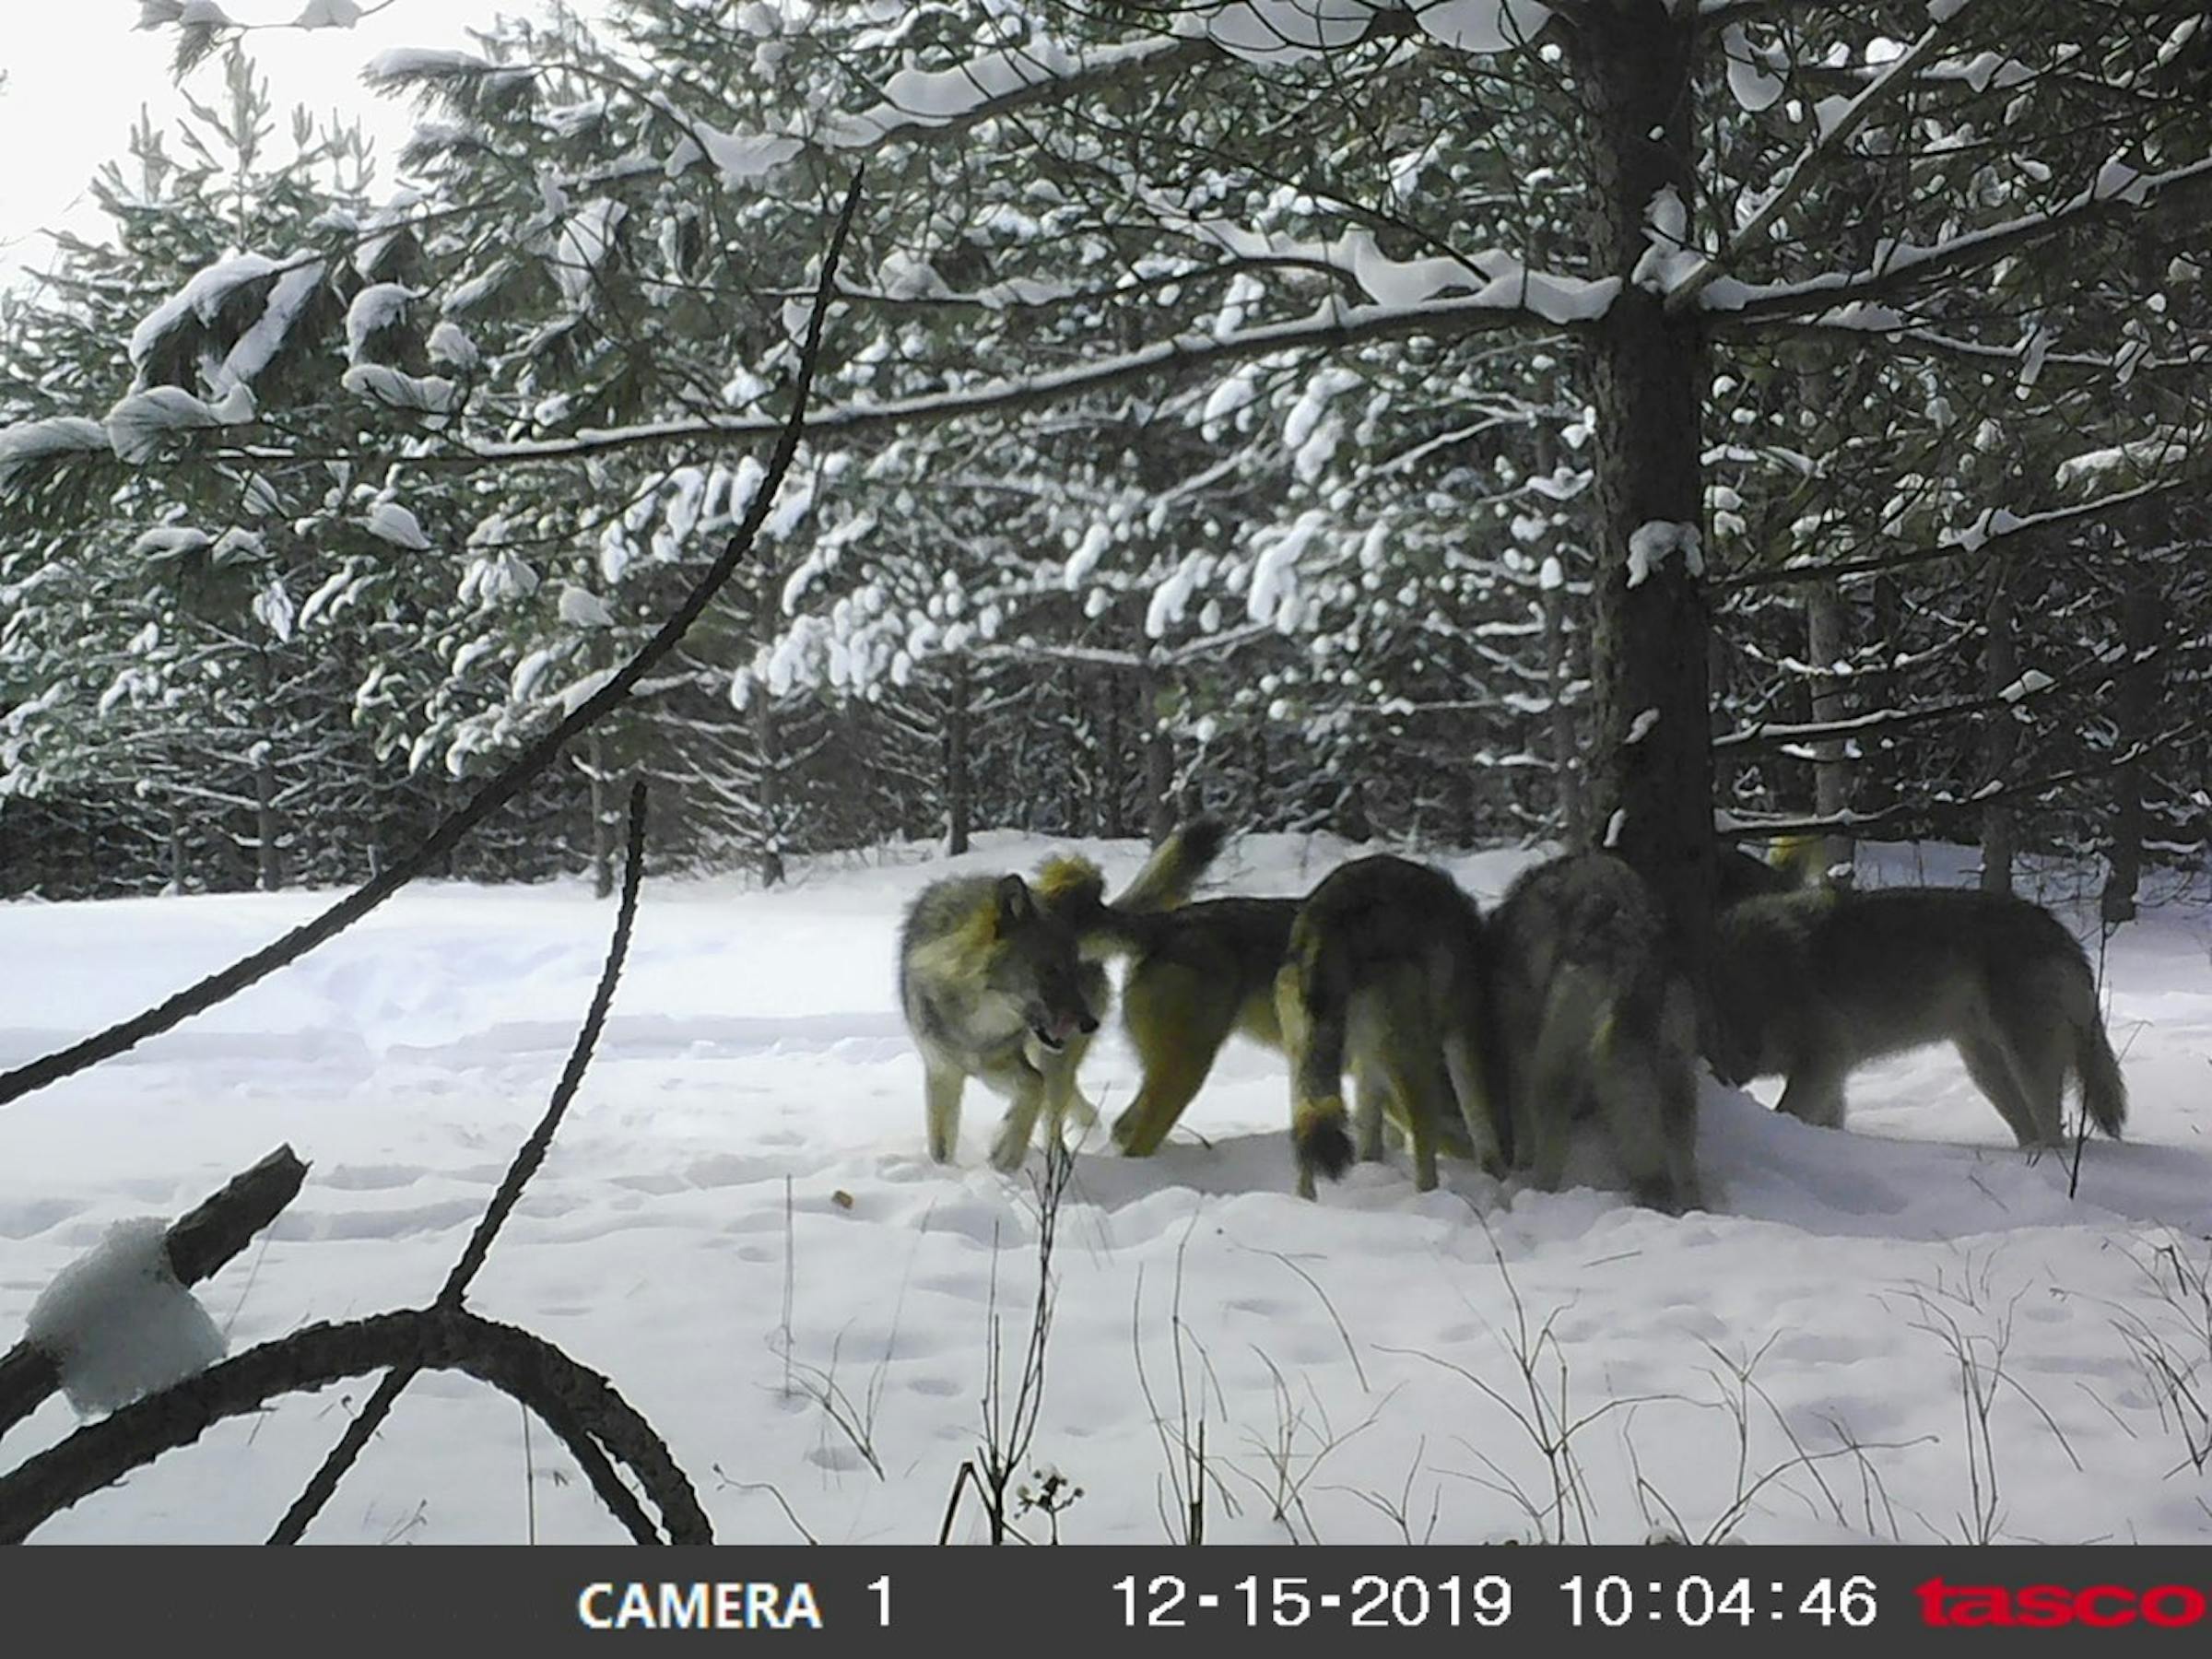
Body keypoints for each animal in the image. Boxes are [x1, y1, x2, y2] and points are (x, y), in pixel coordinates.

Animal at [898, 823, 1220, 1172]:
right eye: (1050, 970)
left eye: (1072, 967)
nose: (1090, 1024)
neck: (971, 1019)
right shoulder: (942, 1072)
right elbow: (941, 1147)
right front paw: (945, 1172)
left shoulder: (1004, 1061)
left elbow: (1033, 1089)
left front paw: (1007, 1154)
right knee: (1070, 1099)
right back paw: (1085, 1122)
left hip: (1055, 1059)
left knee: (1054, 1107)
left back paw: (1058, 1156)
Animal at [1273, 855, 1505, 1200]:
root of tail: (1333, 912)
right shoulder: (1461, 1031)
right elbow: (1480, 1118)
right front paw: (1498, 1178)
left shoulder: (1366, 1063)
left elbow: (1370, 1134)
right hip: (1411, 1061)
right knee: (1424, 1151)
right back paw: (1430, 1200)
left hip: (1304, 1063)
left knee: (1305, 1146)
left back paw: (1307, 1206)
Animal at [1488, 852, 1704, 1213]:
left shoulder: (1523, 1050)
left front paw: (1520, 1167)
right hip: (1673, 1075)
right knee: (1679, 1160)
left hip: (1553, 1067)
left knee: (1552, 1150)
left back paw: (1539, 1196)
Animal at [1707, 880, 2128, 1149]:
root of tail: (2058, 930)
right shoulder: (1831, 1071)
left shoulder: (1825, 1056)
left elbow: (1787, 1111)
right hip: (1985, 1067)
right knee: (2030, 1130)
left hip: (2026, 1063)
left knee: (2052, 1131)